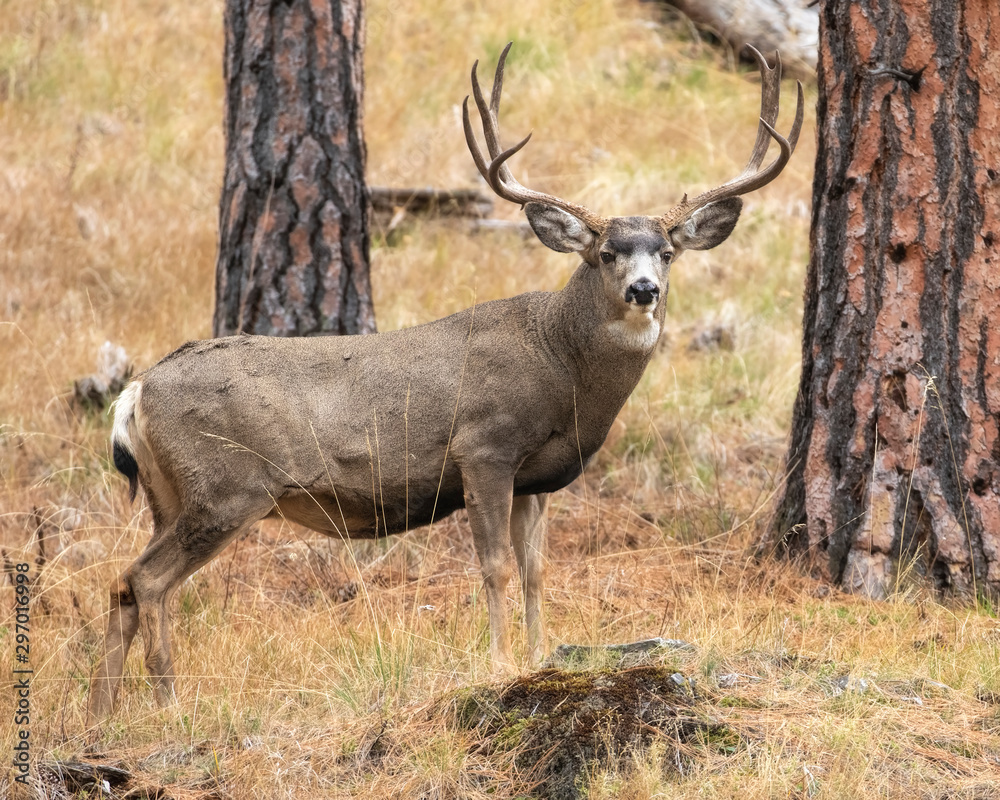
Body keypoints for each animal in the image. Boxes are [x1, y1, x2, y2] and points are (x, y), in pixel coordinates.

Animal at [87, 43, 801, 726]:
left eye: (668, 252)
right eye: (605, 253)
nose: (644, 289)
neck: (559, 365)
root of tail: (135, 392)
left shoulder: (536, 479)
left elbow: (536, 570)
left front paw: (540, 659)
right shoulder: (483, 448)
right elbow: (494, 566)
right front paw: (498, 663)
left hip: (171, 495)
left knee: (123, 584)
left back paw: (103, 715)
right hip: (225, 488)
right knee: (147, 581)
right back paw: (168, 705)